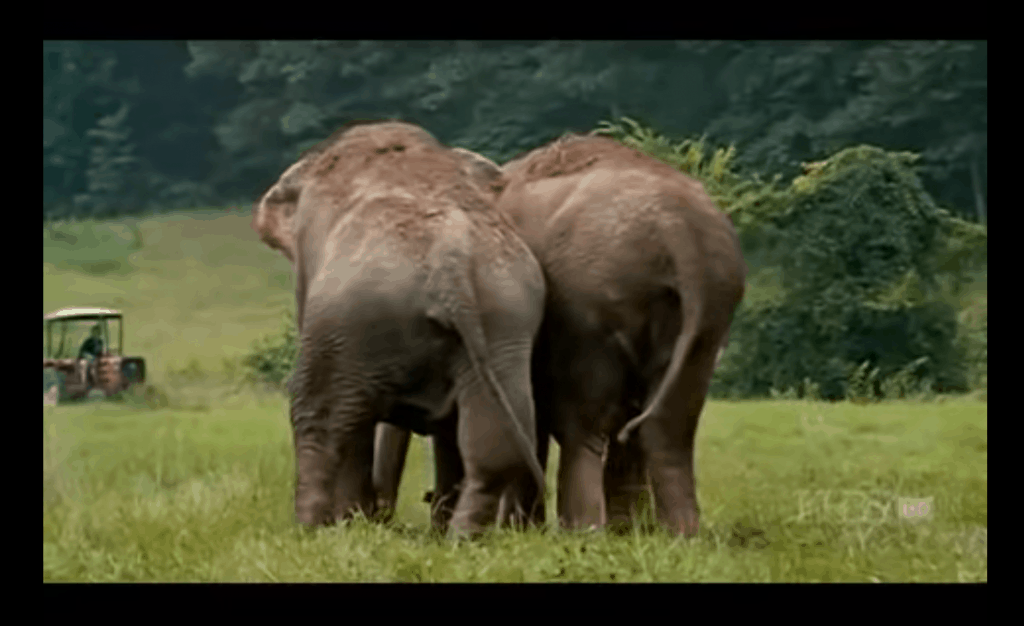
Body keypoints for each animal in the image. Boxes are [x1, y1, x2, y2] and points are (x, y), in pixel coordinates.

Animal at [251, 120, 547, 537]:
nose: (383, 514)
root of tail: (450, 261)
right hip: (504, 319)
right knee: (494, 442)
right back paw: (459, 539)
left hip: (355, 318)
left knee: (324, 420)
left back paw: (311, 530)